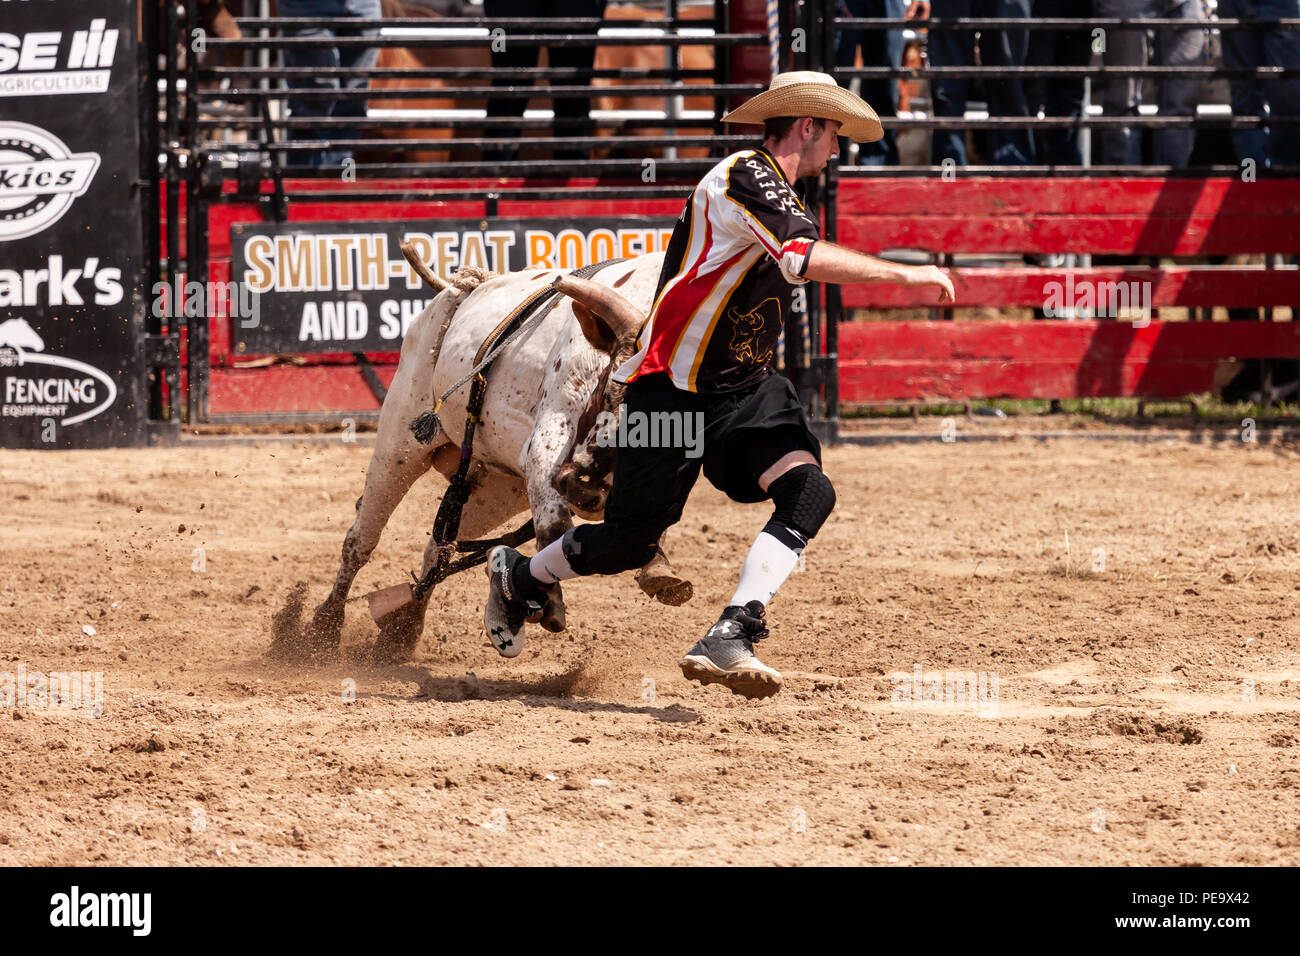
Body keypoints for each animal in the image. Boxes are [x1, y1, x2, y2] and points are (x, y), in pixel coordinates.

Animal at [270, 251, 690, 665]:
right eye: (608, 393)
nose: (583, 487)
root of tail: (460, 288)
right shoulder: (547, 440)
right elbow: (555, 525)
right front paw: (542, 598)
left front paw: (657, 567)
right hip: (400, 442)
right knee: (361, 539)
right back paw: (323, 628)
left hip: (498, 488)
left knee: (438, 548)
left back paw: (403, 630)